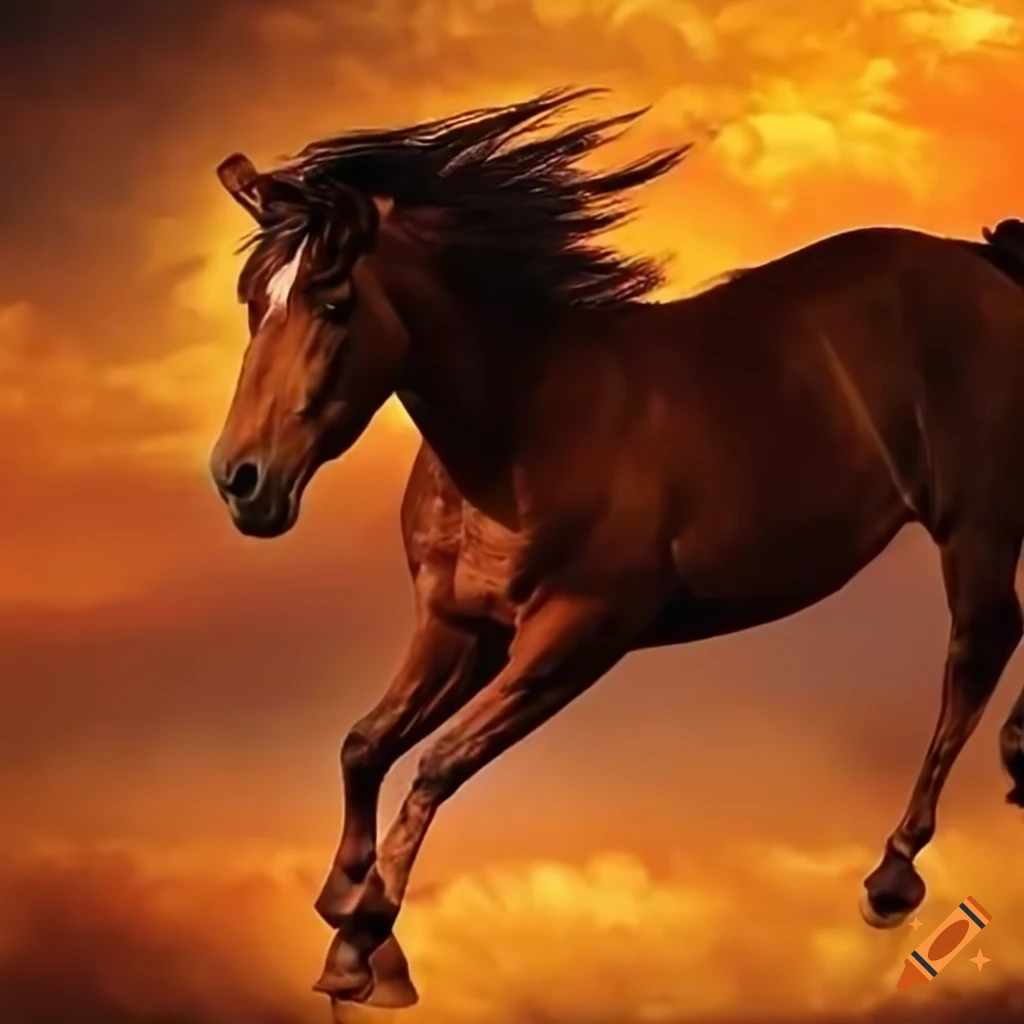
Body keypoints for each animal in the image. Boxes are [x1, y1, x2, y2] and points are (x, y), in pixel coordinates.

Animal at [208, 87, 1024, 1011]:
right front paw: (345, 909)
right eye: (252, 298)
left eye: (335, 301)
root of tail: (987, 266)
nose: (240, 480)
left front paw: (363, 944)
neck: (527, 426)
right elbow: (364, 745)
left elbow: (437, 763)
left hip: (976, 522)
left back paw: (891, 876)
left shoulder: (579, 633)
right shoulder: (457, 626)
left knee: (978, 649)